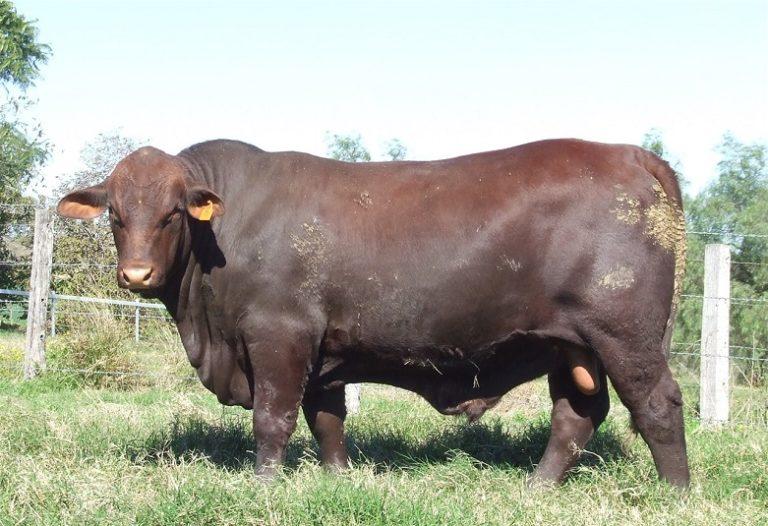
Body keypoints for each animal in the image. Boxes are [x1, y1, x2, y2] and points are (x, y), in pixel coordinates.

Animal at [57, 138, 689, 487]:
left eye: (171, 214)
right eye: (116, 214)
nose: (136, 274)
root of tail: (629, 154)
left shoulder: (278, 335)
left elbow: (272, 419)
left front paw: (265, 486)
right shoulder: (324, 352)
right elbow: (327, 420)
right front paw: (337, 480)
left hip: (625, 334)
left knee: (658, 405)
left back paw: (675, 494)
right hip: (570, 345)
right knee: (576, 415)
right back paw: (536, 488)